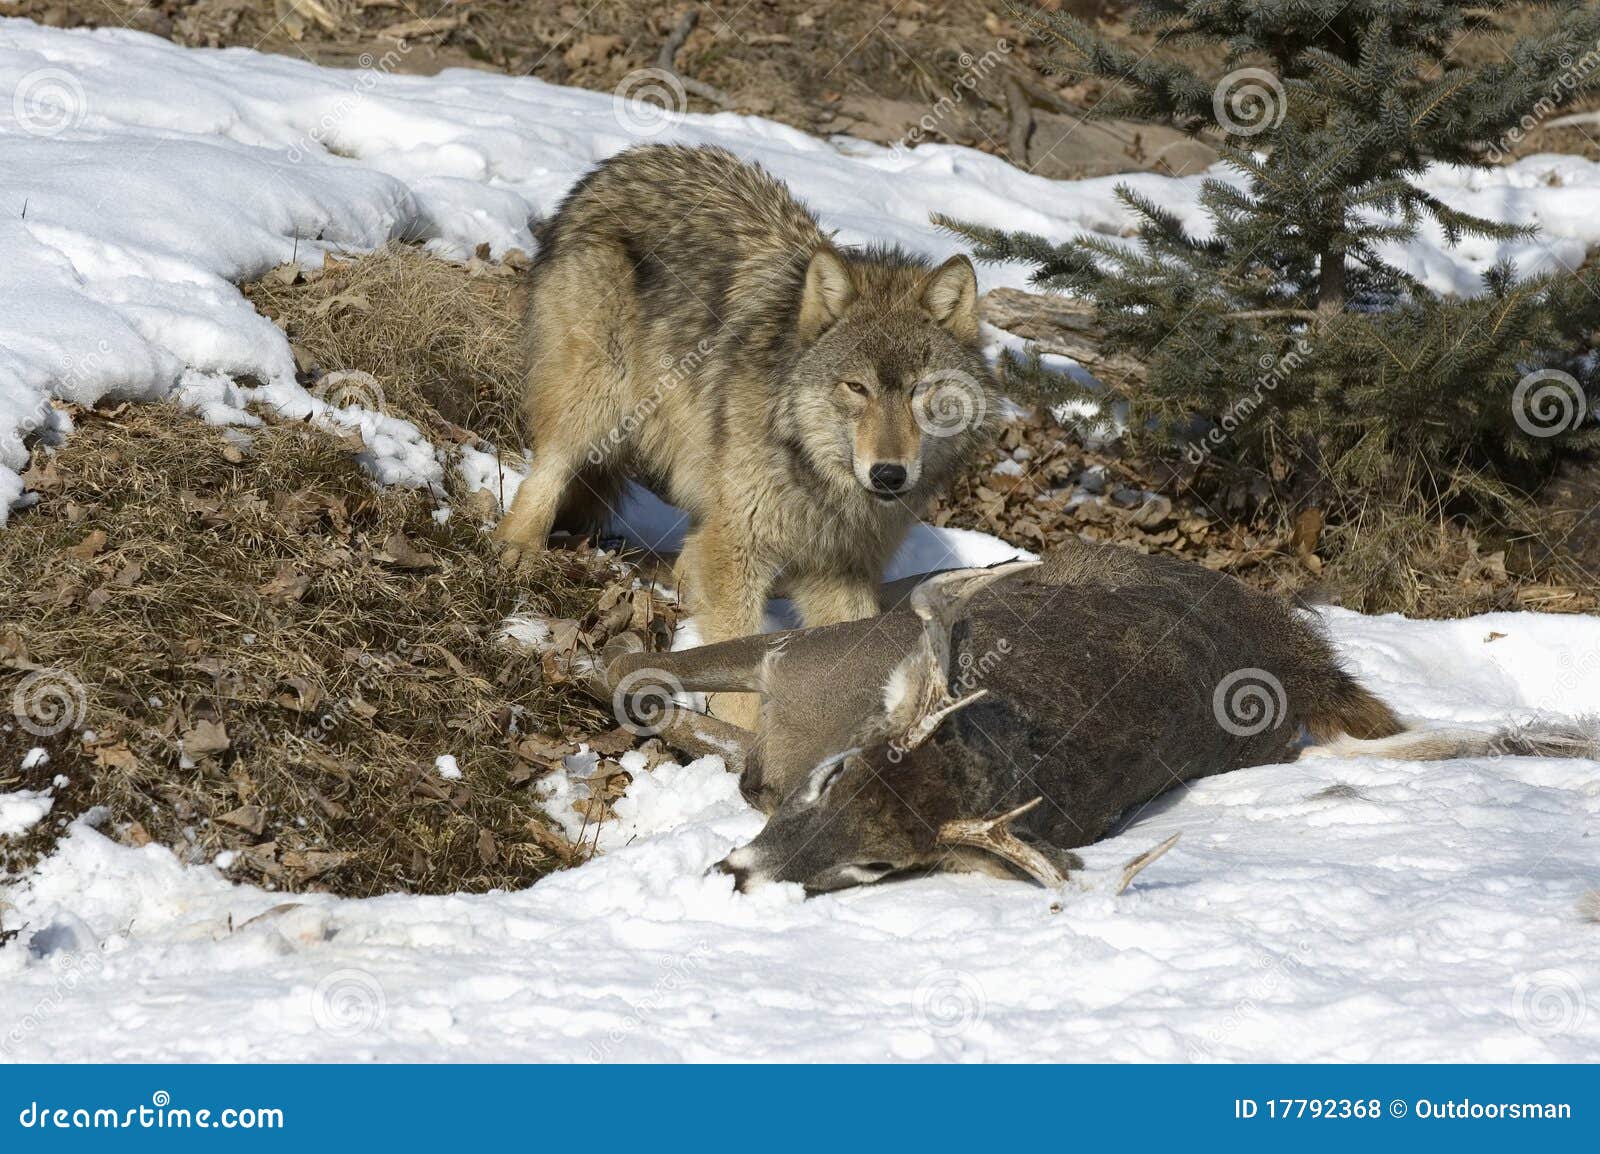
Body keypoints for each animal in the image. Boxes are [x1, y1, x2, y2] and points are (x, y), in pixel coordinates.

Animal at [495, 145, 996, 657]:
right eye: (857, 388)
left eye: (920, 390)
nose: (889, 475)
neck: (813, 476)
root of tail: (613, 167)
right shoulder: (740, 548)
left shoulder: (839, 572)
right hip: (598, 400)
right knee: (548, 470)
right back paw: (517, 549)